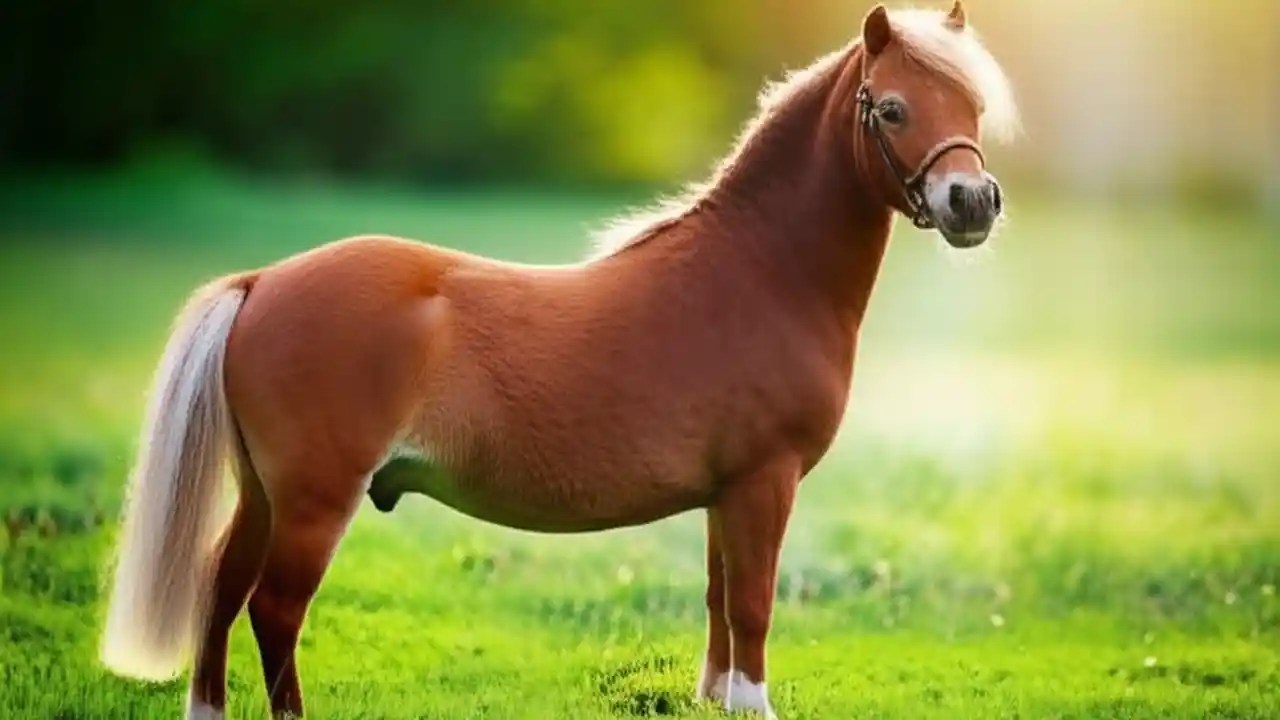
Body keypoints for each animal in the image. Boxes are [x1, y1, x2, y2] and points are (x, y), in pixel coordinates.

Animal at [100, 3, 1016, 717]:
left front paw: (717, 699)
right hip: (315, 501)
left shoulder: (727, 494)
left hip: (263, 494)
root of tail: (262, 282)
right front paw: (753, 705)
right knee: (274, 611)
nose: (972, 202)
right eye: (890, 109)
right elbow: (753, 606)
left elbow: (720, 602)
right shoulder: (766, 482)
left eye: (971, 102)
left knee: (221, 594)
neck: (761, 273)